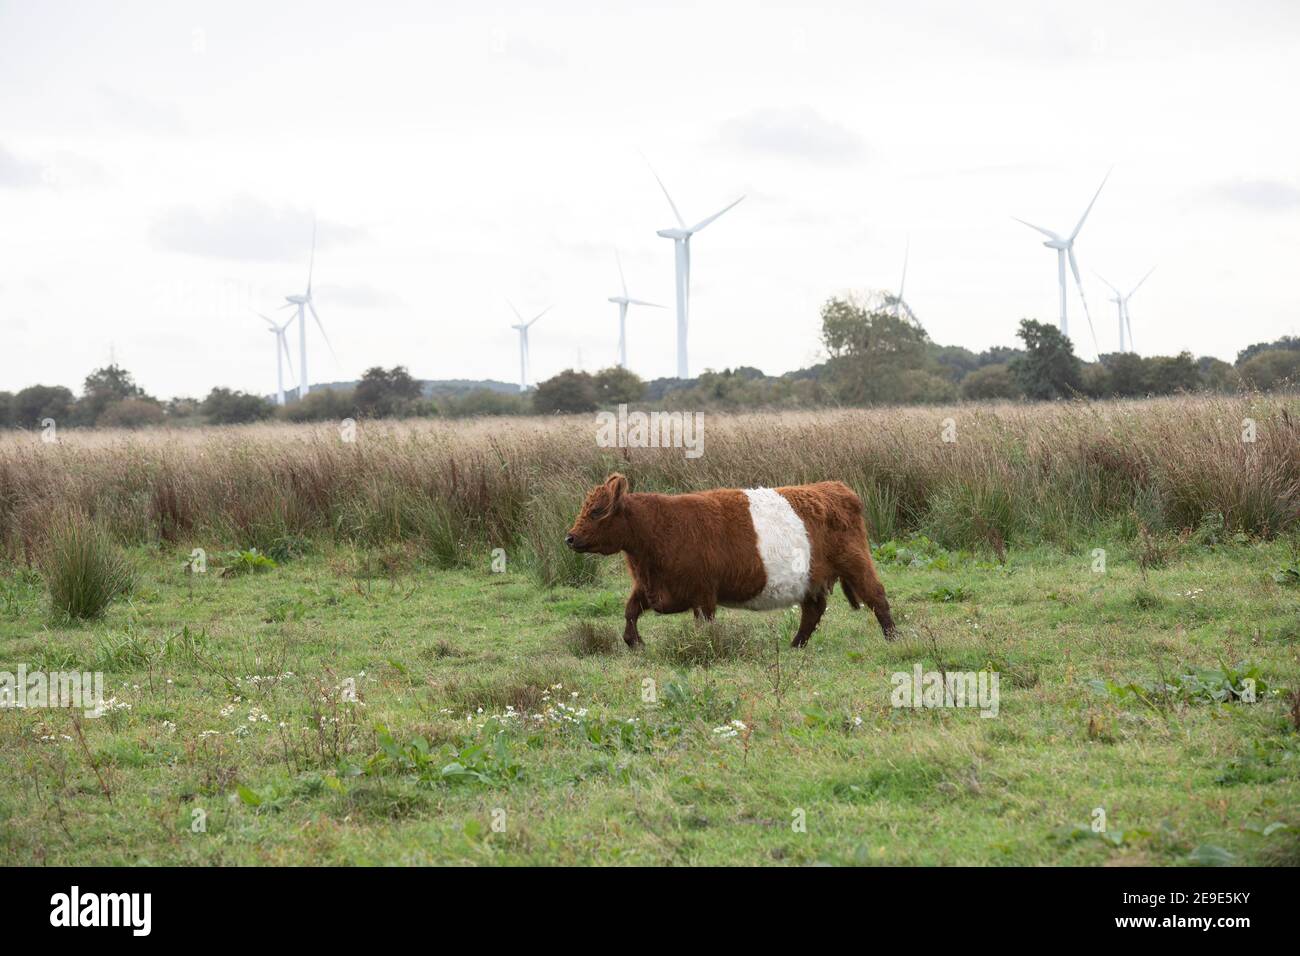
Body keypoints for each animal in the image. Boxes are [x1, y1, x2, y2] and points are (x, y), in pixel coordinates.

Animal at [565, 473, 895, 649]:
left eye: (596, 511)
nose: (569, 537)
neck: (657, 529)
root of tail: (835, 487)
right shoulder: (649, 587)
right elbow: (630, 611)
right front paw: (634, 642)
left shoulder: (702, 593)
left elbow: (703, 625)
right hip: (810, 579)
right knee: (813, 611)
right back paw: (795, 645)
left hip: (856, 562)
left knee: (876, 596)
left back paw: (893, 637)